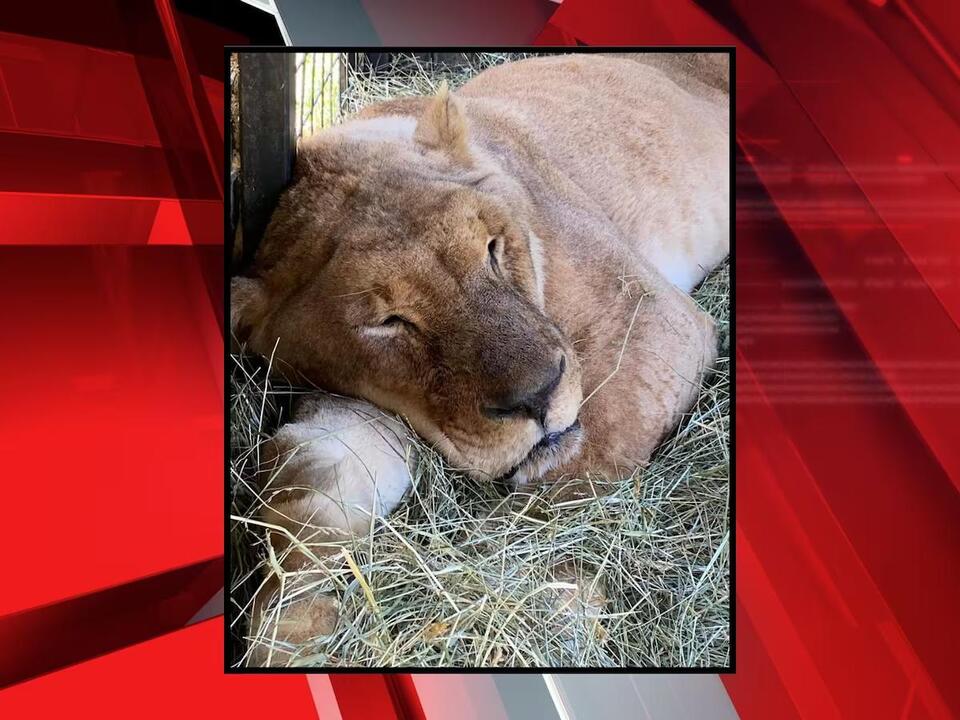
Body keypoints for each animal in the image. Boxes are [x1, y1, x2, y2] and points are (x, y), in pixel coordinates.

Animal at [232, 53, 728, 665]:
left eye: (492, 248)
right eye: (388, 322)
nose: (540, 397)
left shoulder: (652, 318)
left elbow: (573, 481)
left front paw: (546, 599)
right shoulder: (345, 409)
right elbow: (310, 490)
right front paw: (289, 630)